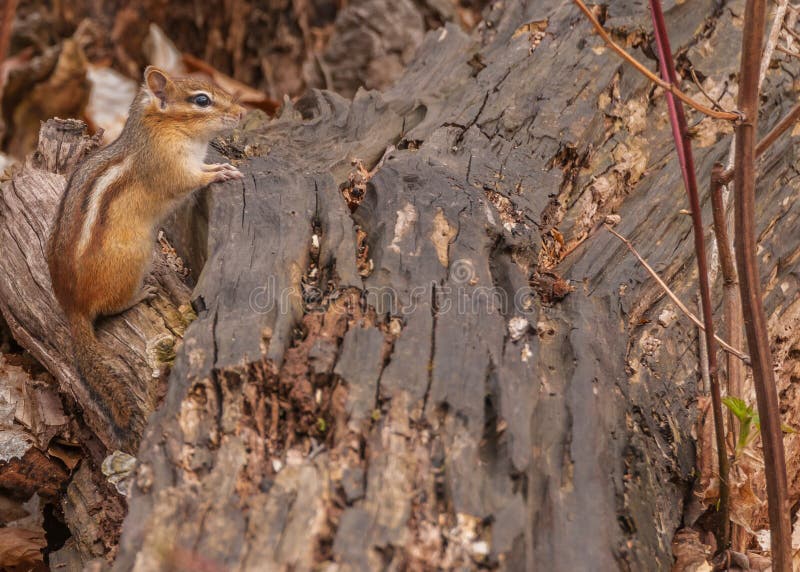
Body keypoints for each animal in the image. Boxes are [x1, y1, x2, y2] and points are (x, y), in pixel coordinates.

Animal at [47, 66, 246, 449]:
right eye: (202, 100)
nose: (243, 113)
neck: (160, 127)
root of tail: (72, 307)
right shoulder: (172, 167)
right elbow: (191, 179)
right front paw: (221, 172)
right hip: (136, 257)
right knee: (111, 307)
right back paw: (141, 293)